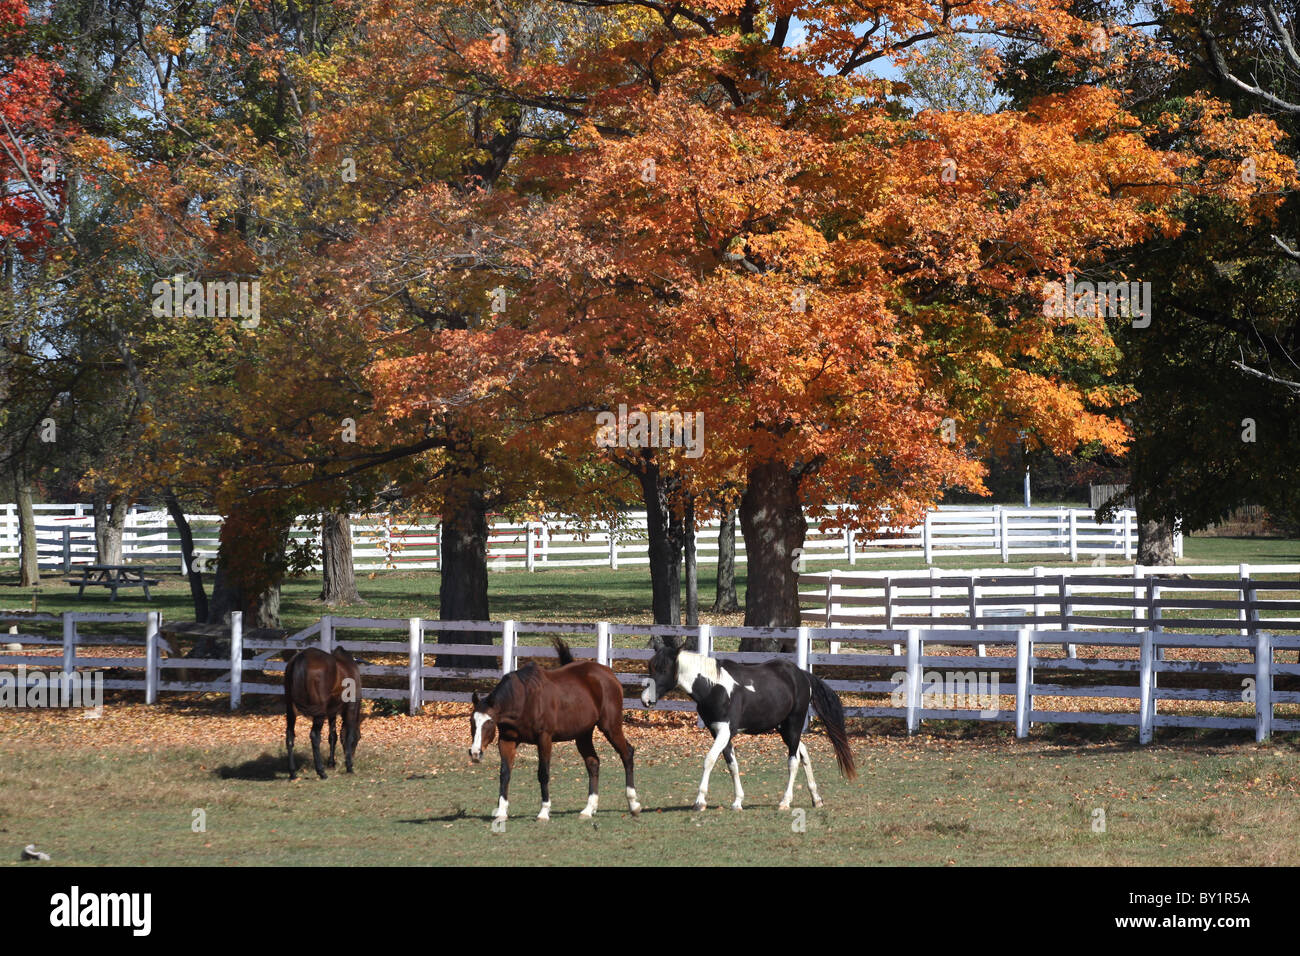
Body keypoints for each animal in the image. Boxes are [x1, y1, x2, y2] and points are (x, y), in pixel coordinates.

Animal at [284, 646, 362, 780]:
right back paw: (321, 772)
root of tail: (302, 657)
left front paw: (331, 763)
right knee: (315, 736)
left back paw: (293, 773)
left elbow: (333, 736)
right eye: (359, 738)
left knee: (290, 736)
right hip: (318, 713)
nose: (353, 756)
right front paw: (349, 766)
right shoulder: (351, 707)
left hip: (290, 709)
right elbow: (348, 735)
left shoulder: (332, 711)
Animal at [469, 636, 641, 823]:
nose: (475, 752)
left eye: (489, 722)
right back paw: (588, 809)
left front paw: (544, 812)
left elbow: (543, 773)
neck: (524, 699)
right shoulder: (507, 740)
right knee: (593, 763)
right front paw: (501, 812)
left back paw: (633, 804)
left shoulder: (544, 738)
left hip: (611, 727)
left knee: (627, 753)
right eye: (472, 721)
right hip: (583, 734)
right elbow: (504, 773)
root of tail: (609, 674)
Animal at [640, 635, 856, 811]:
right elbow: (732, 765)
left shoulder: (725, 732)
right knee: (804, 754)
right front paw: (737, 802)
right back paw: (816, 798)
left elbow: (709, 760)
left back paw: (785, 801)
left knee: (793, 761)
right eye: (650, 667)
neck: (714, 687)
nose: (645, 700)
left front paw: (700, 801)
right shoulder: (718, 732)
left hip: (794, 725)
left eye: (664, 669)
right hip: (784, 728)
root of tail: (802, 675)